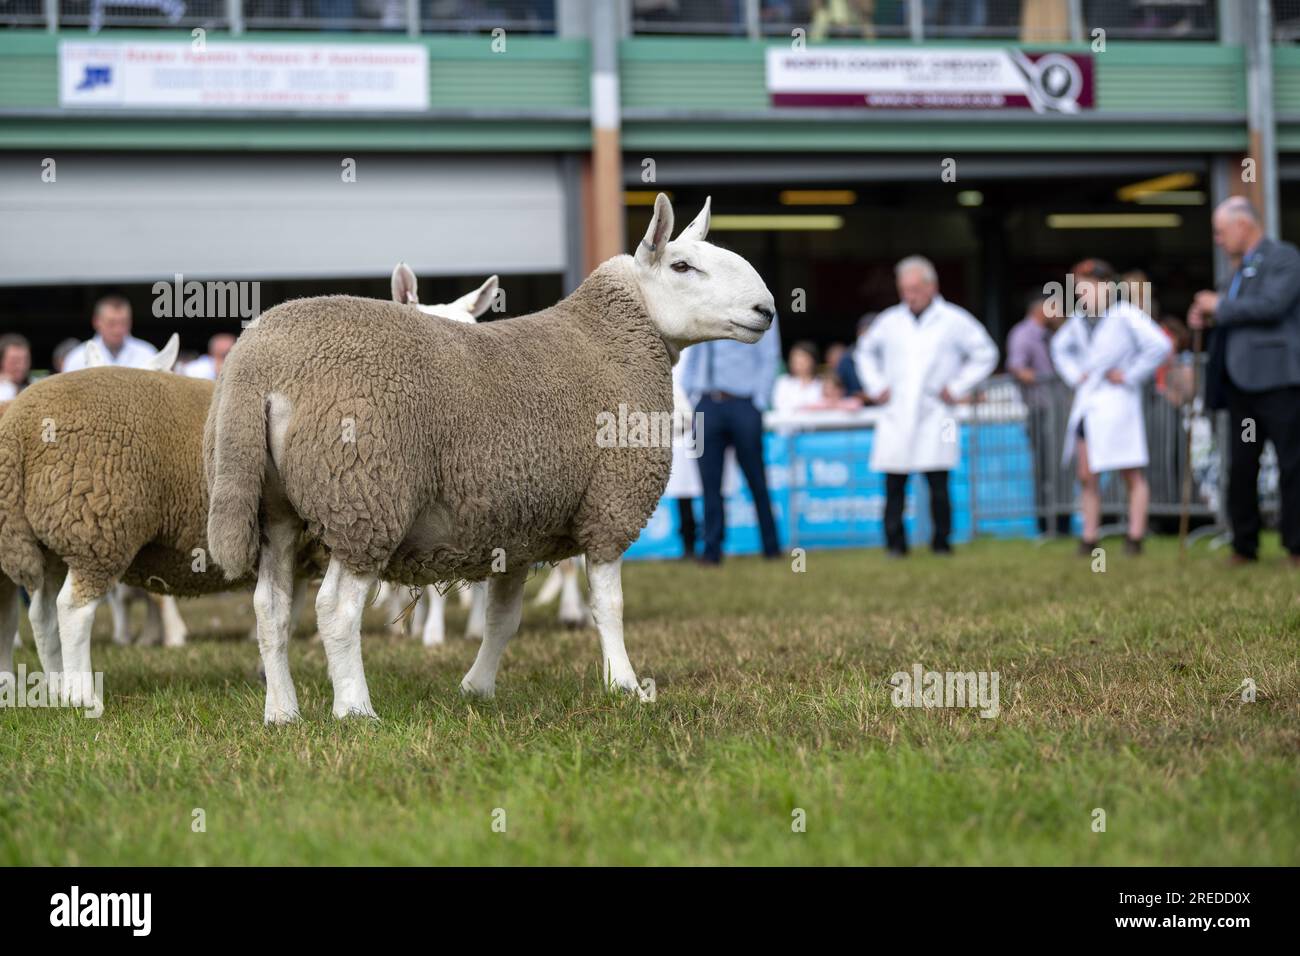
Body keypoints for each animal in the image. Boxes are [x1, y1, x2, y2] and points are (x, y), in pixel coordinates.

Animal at [205, 193, 776, 722]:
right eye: (681, 266)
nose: (765, 310)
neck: (612, 339)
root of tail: (259, 364)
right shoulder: (610, 505)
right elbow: (608, 606)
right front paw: (624, 686)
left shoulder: (517, 524)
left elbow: (504, 619)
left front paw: (476, 687)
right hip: (363, 494)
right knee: (336, 609)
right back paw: (355, 709)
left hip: (272, 505)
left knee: (270, 607)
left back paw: (282, 711)